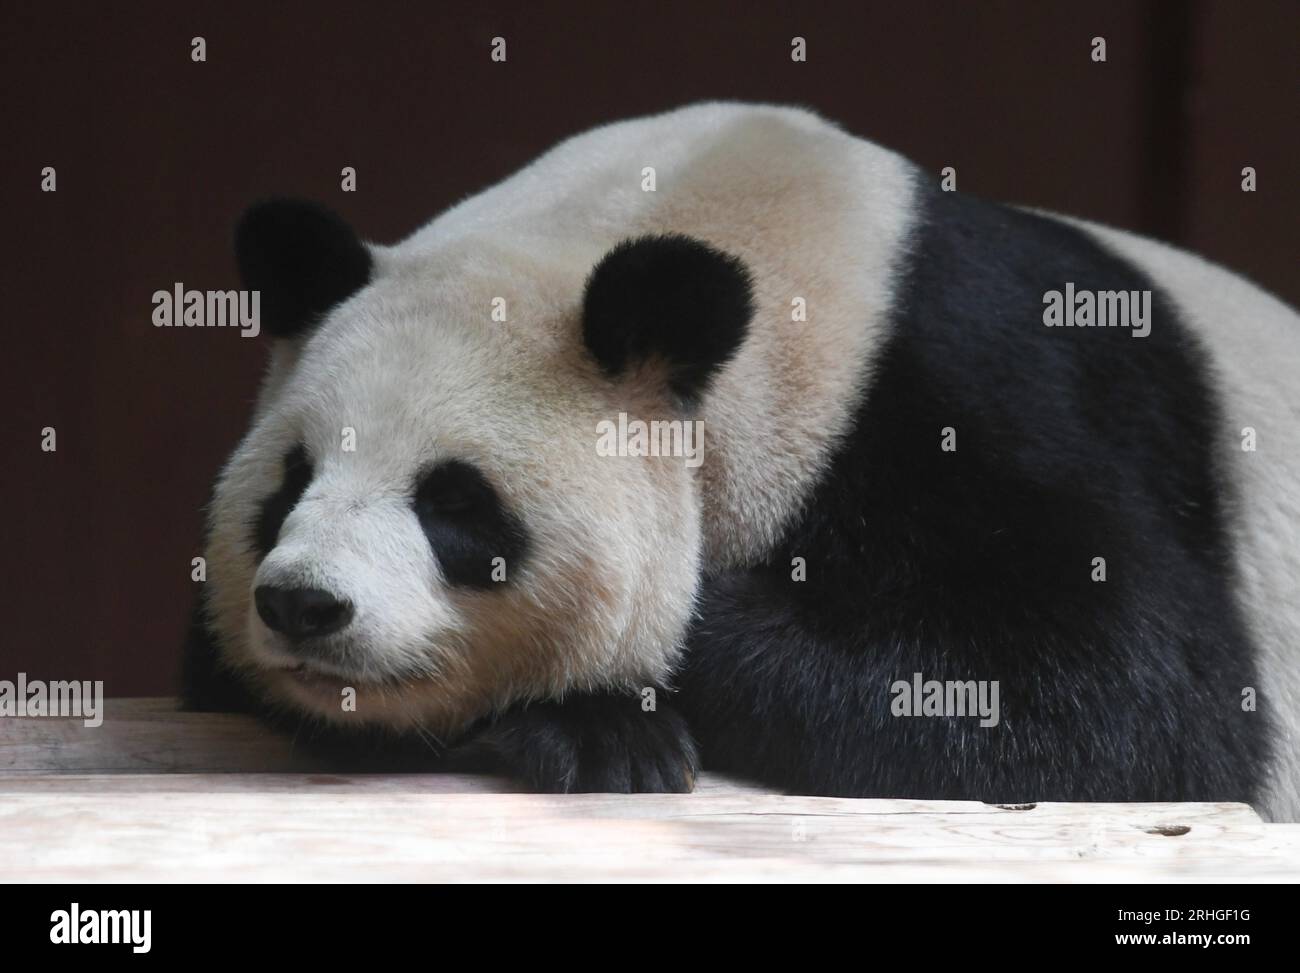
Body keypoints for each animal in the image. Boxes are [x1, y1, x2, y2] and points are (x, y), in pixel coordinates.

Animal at [183, 102, 1300, 821]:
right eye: (290, 483)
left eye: (457, 504)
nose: (303, 603)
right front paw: (597, 721)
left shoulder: (970, 401)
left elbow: (1140, 698)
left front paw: (606, 708)